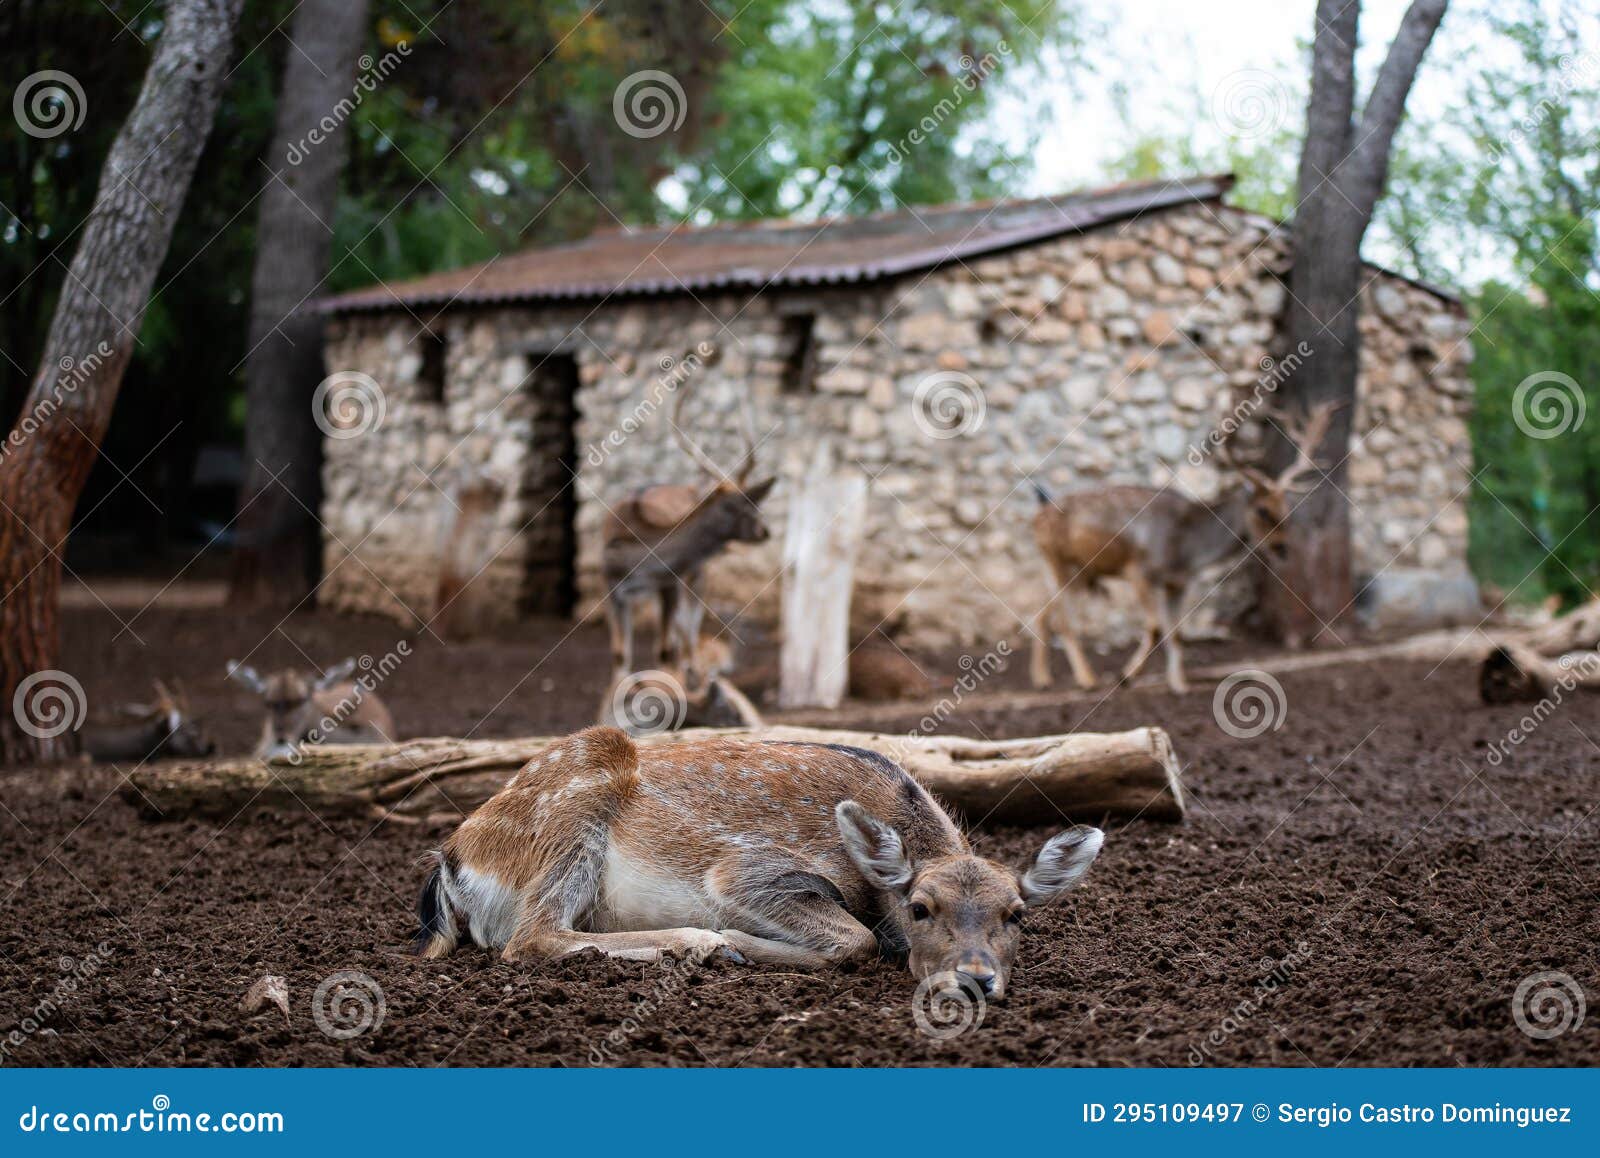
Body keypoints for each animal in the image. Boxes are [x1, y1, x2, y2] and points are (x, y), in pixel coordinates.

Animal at [415, 725, 1103, 1001]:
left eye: (1017, 915)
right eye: (920, 908)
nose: (975, 977)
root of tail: (453, 861)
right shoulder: (744, 874)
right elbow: (854, 939)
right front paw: (732, 945)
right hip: (571, 822)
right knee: (530, 937)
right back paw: (695, 943)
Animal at [601, 381, 775, 681]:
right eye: (742, 506)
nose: (764, 531)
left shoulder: (670, 583)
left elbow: (665, 651)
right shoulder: (613, 590)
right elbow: (620, 656)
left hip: (696, 576)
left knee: (688, 635)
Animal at [1029, 402, 1337, 694]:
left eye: (1286, 507)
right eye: (1263, 510)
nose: (1282, 548)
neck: (1186, 551)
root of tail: (1037, 514)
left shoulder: (1178, 584)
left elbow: (1176, 632)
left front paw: (1178, 684)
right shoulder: (1139, 571)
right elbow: (1156, 627)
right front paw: (1126, 676)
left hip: (1079, 572)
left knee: (1044, 614)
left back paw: (1044, 678)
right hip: (1058, 562)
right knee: (1061, 620)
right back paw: (1085, 680)